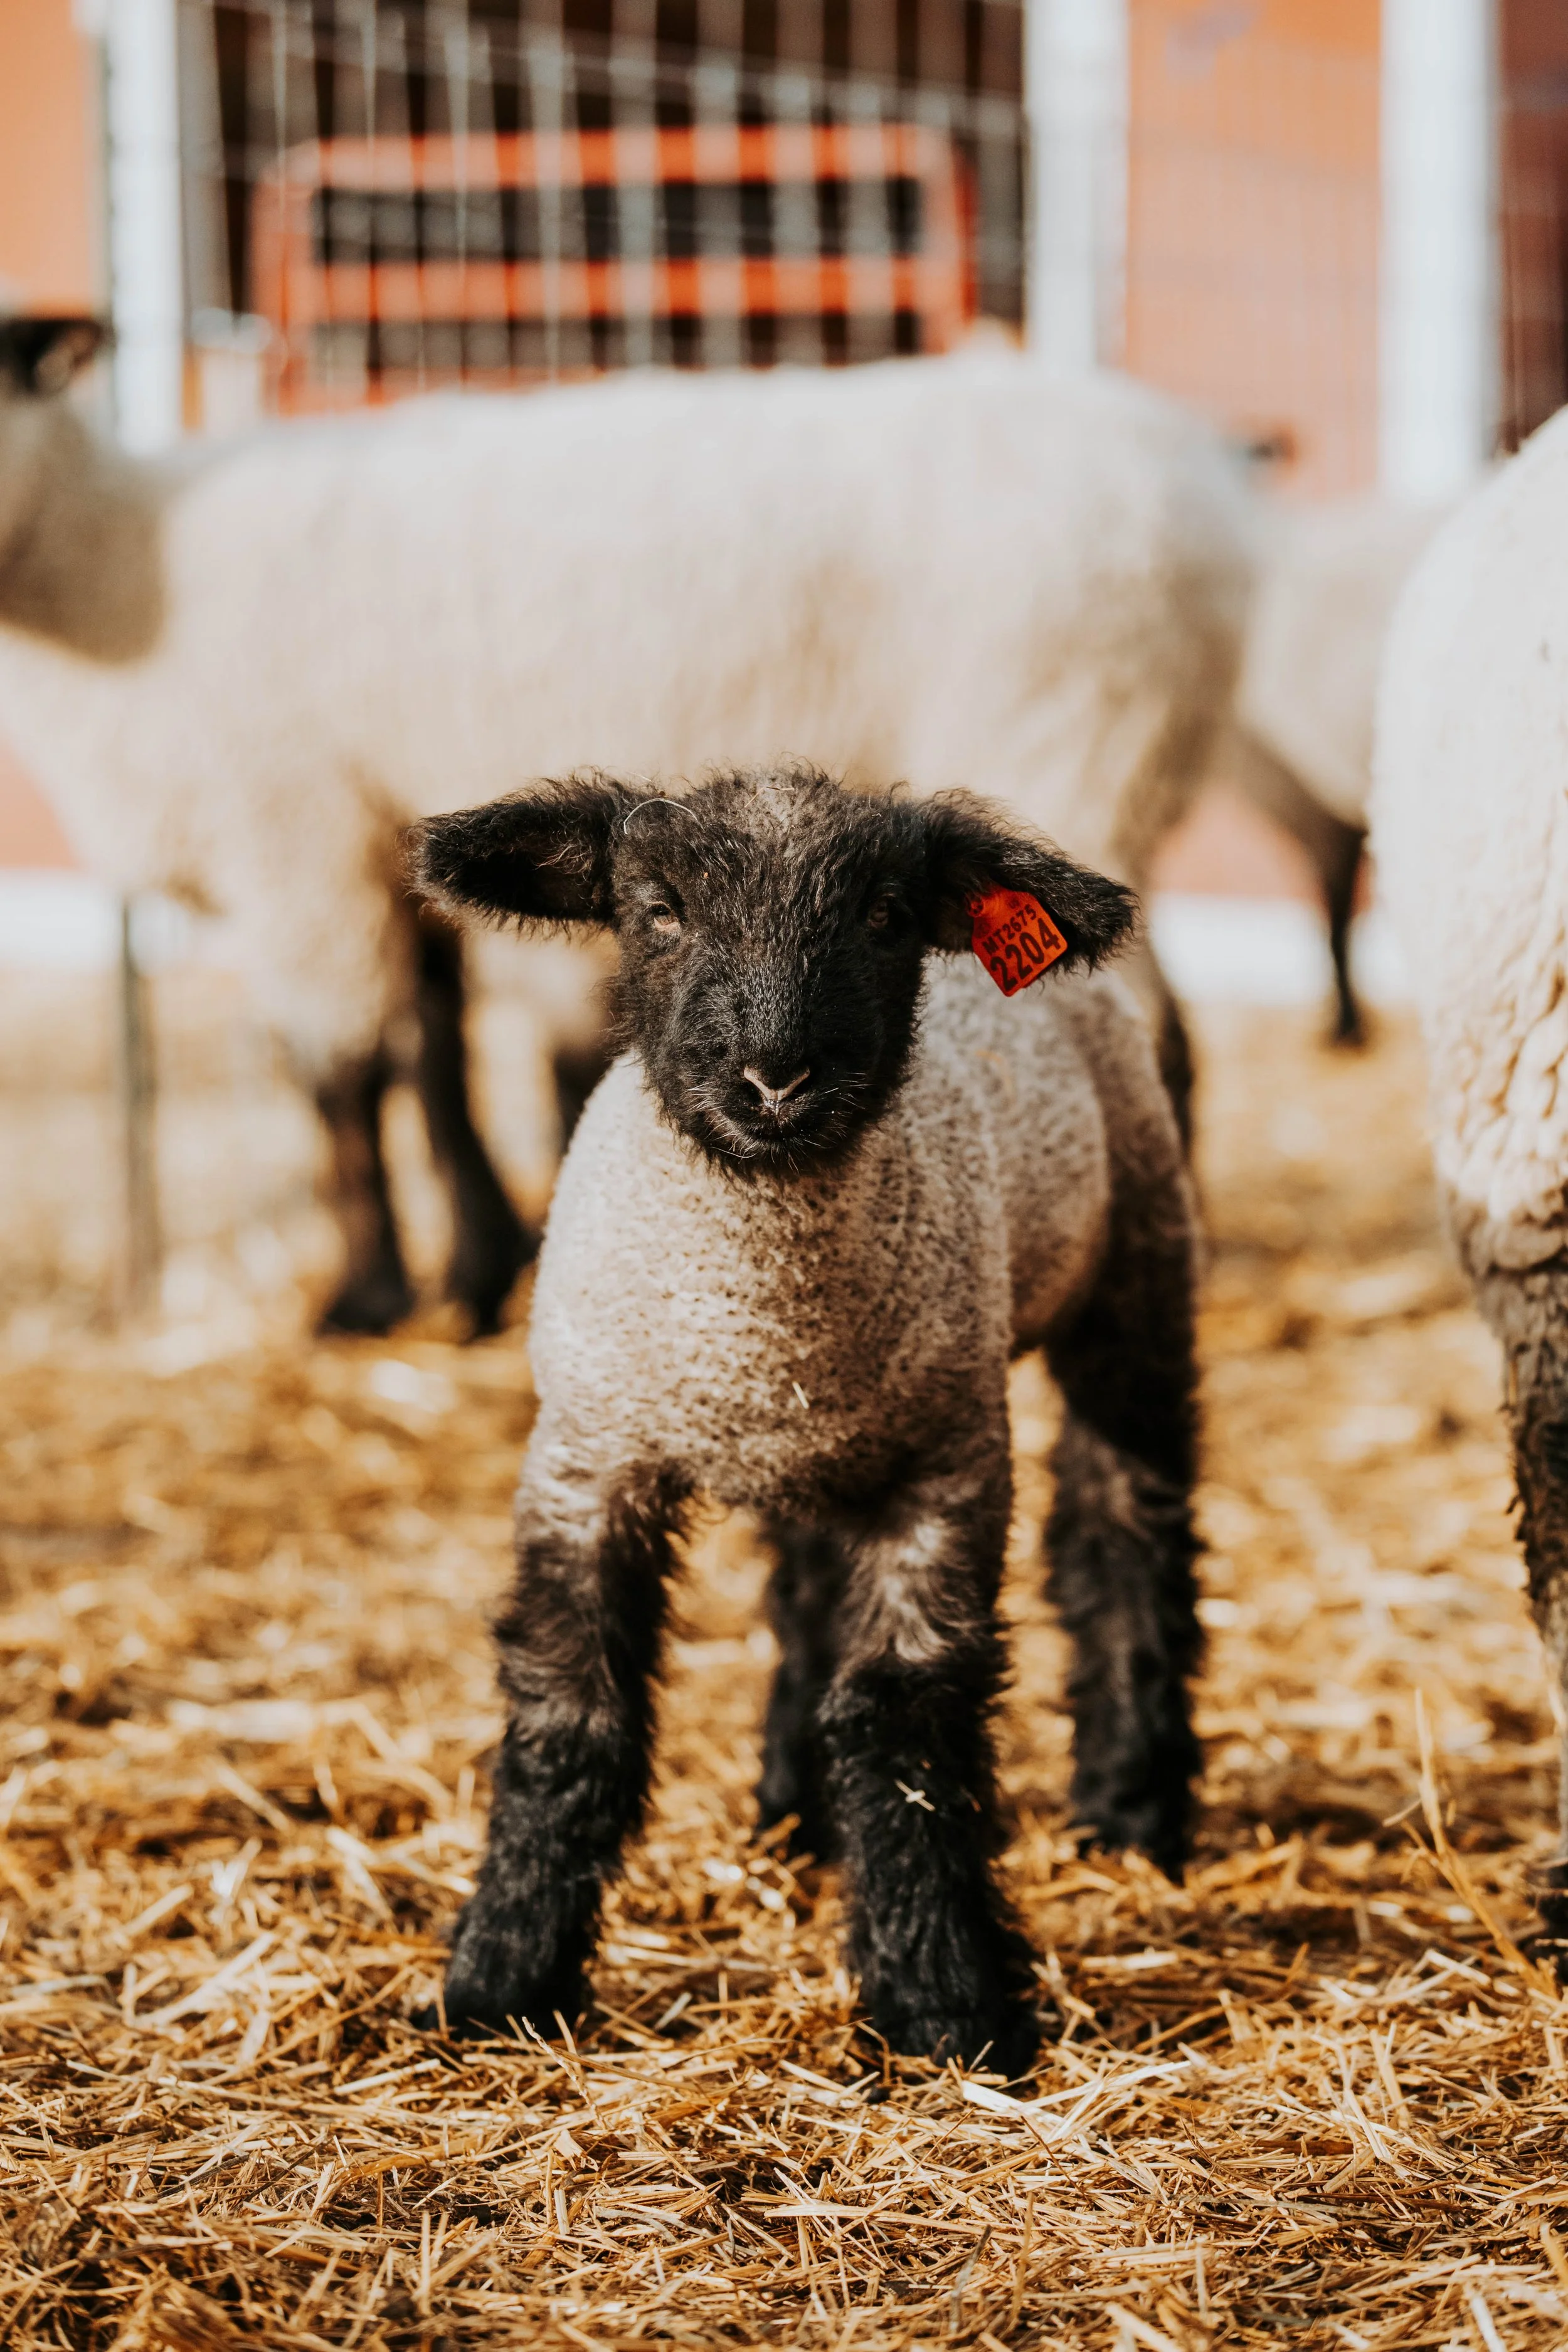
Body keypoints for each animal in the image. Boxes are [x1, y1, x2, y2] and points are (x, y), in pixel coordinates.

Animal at [0, 319, 1251, 1333]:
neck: (122, 572)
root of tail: (1206, 491)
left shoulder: (293, 830)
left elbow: (346, 1076)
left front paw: (367, 1297)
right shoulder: (387, 829)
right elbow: (438, 1053)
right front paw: (478, 1270)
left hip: (1068, 735)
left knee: (1142, 1032)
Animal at [409, 762, 1203, 2068]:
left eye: (886, 916)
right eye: (661, 909)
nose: (776, 1076)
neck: (755, 1311)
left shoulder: (945, 1466)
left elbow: (903, 1720)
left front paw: (942, 1997)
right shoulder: (588, 1455)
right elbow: (571, 1709)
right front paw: (499, 1981)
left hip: (1133, 1263)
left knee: (1127, 1528)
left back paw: (1134, 1812)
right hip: (839, 1437)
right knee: (809, 1597)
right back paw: (795, 1815)